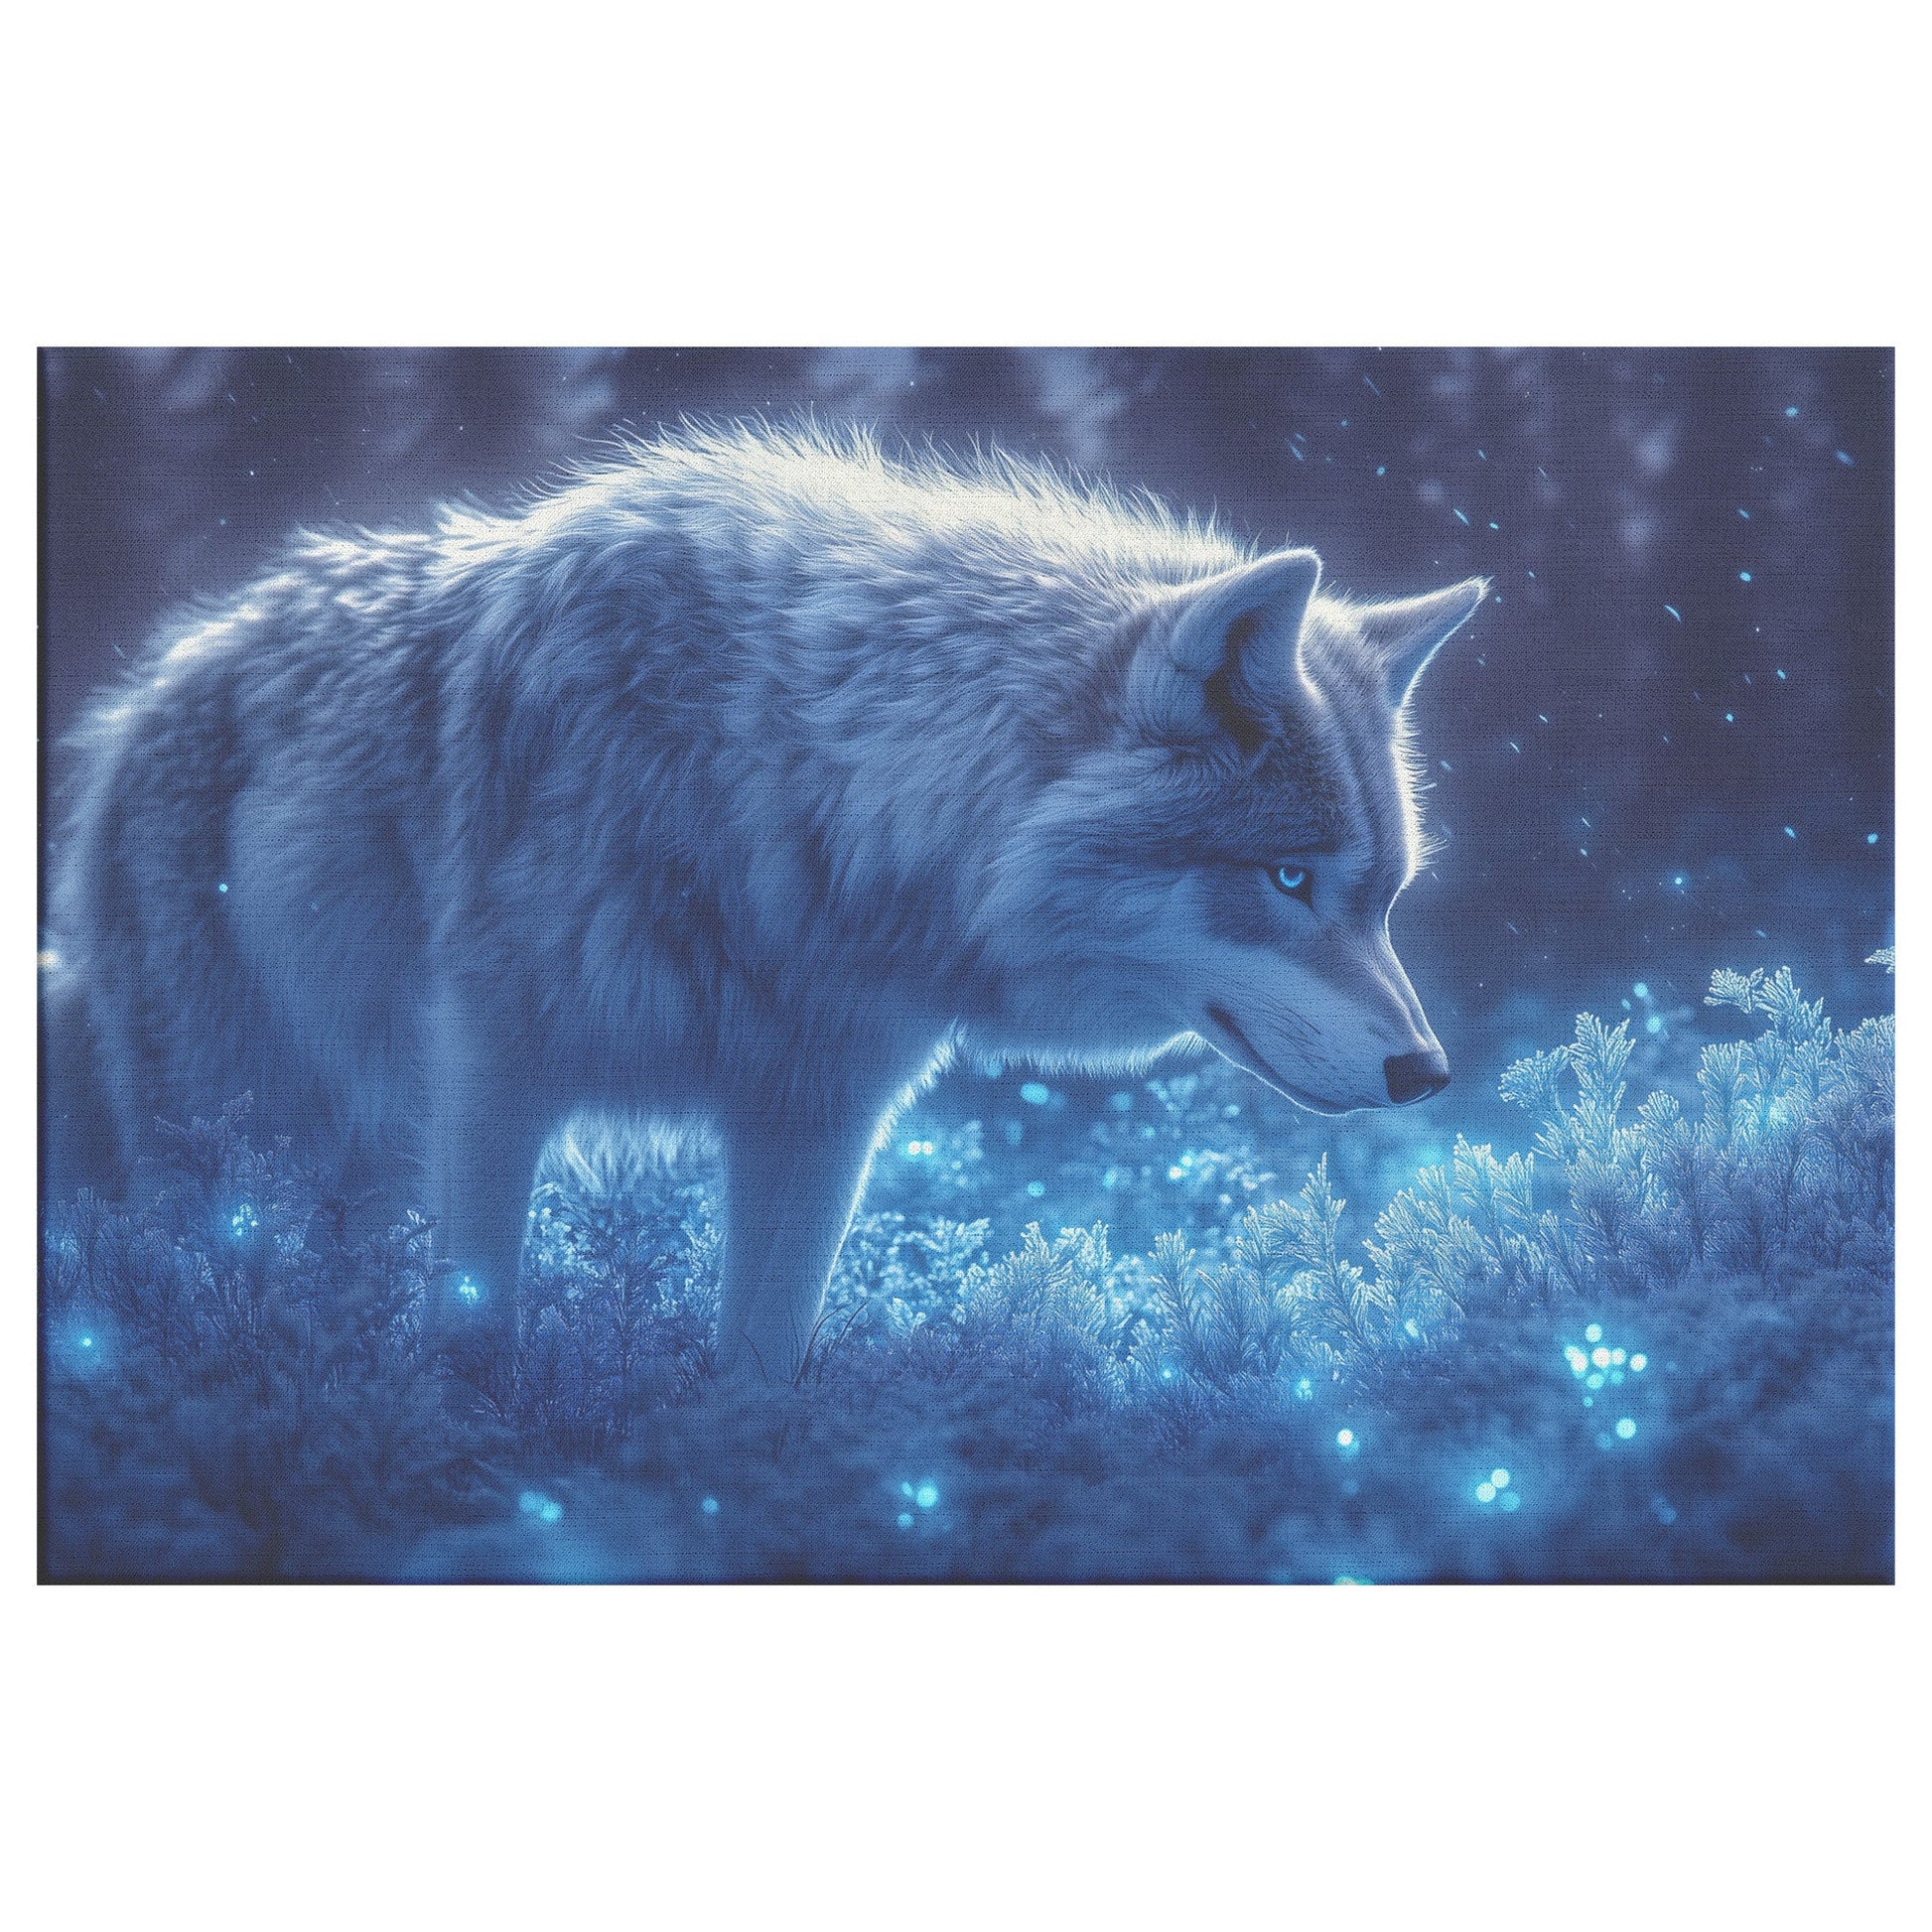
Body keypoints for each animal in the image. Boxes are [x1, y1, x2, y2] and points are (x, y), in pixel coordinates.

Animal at [48, 421, 1484, 1383]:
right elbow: (474, 1327)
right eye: (1287, 879)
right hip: (256, 1133)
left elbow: (756, 1365)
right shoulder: (494, 1069)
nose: (1426, 1072)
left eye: (1383, 898)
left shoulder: (816, 1109)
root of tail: (145, 690)